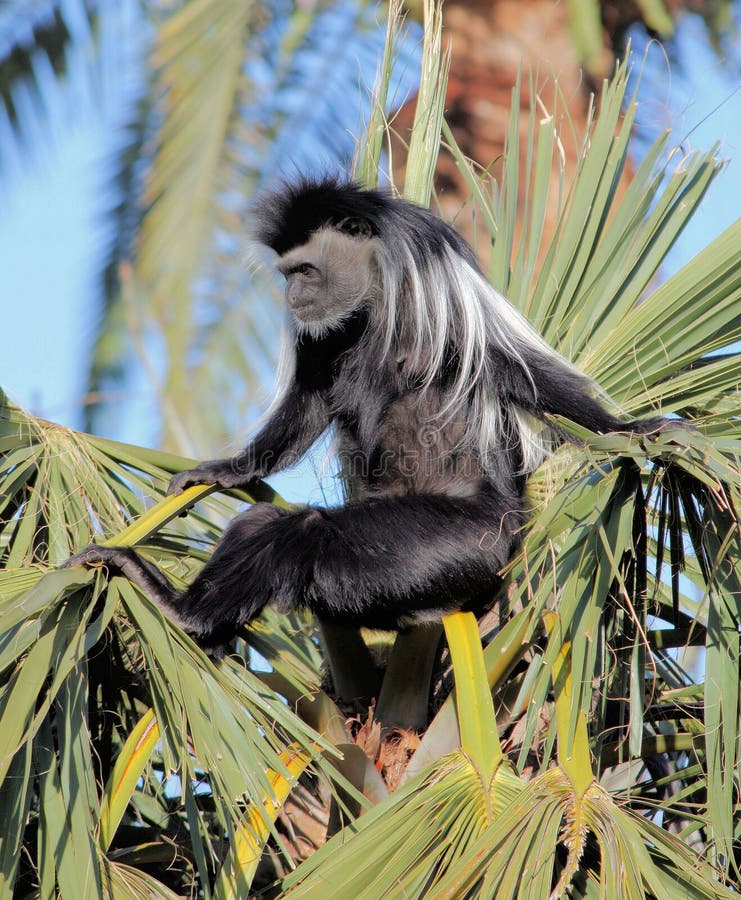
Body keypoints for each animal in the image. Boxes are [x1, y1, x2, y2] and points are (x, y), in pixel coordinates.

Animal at [67, 175, 668, 654]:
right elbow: (309, 398)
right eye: (286, 272)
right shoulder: (322, 333)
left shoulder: (429, 269)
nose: (292, 294)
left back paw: (184, 613)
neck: (373, 295)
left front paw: (631, 430)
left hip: (460, 546)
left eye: (305, 269)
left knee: (307, 532)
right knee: (261, 523)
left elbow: (518, 368)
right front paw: (226, 469)